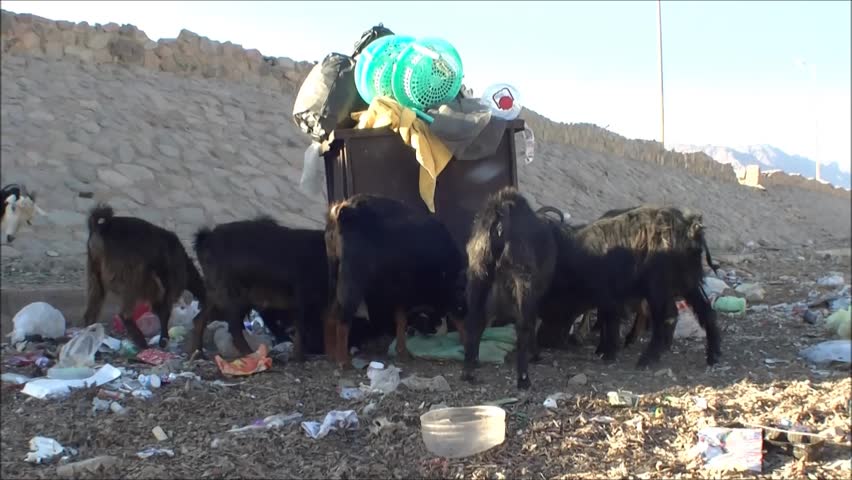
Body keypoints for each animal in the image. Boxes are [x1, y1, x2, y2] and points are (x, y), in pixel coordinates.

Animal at [82, 204, 205, 349]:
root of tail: (100, 228)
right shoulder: (172, 283)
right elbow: (164, 311)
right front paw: (164, 339)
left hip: (94, 271)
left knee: (93, 306)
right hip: (131, 272)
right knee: (125, 312)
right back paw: (141, 341)